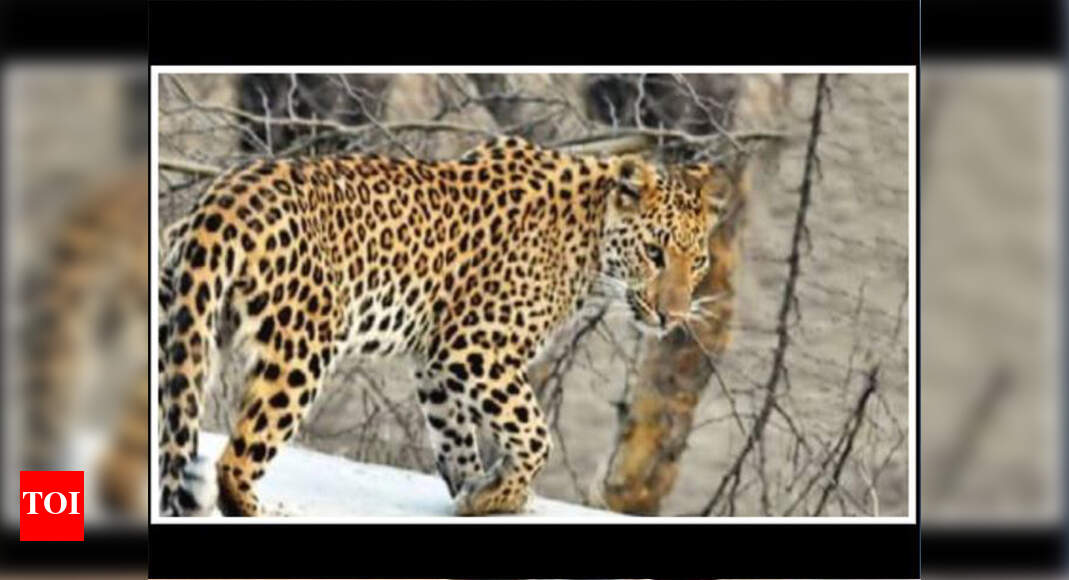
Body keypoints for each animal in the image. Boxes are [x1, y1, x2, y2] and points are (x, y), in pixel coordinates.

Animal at [157, 136, 727, 517]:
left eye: (697, 262)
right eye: (654, 253)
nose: (673, 316)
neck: (588, 241)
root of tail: (221, 201)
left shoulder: (436, 361)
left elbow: (455, 435)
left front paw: (478, 490)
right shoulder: (478, 346)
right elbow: (535, 433)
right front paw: (501, 493)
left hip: (182, 332)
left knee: (170, 447)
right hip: (300, 350)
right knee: (236, 458)